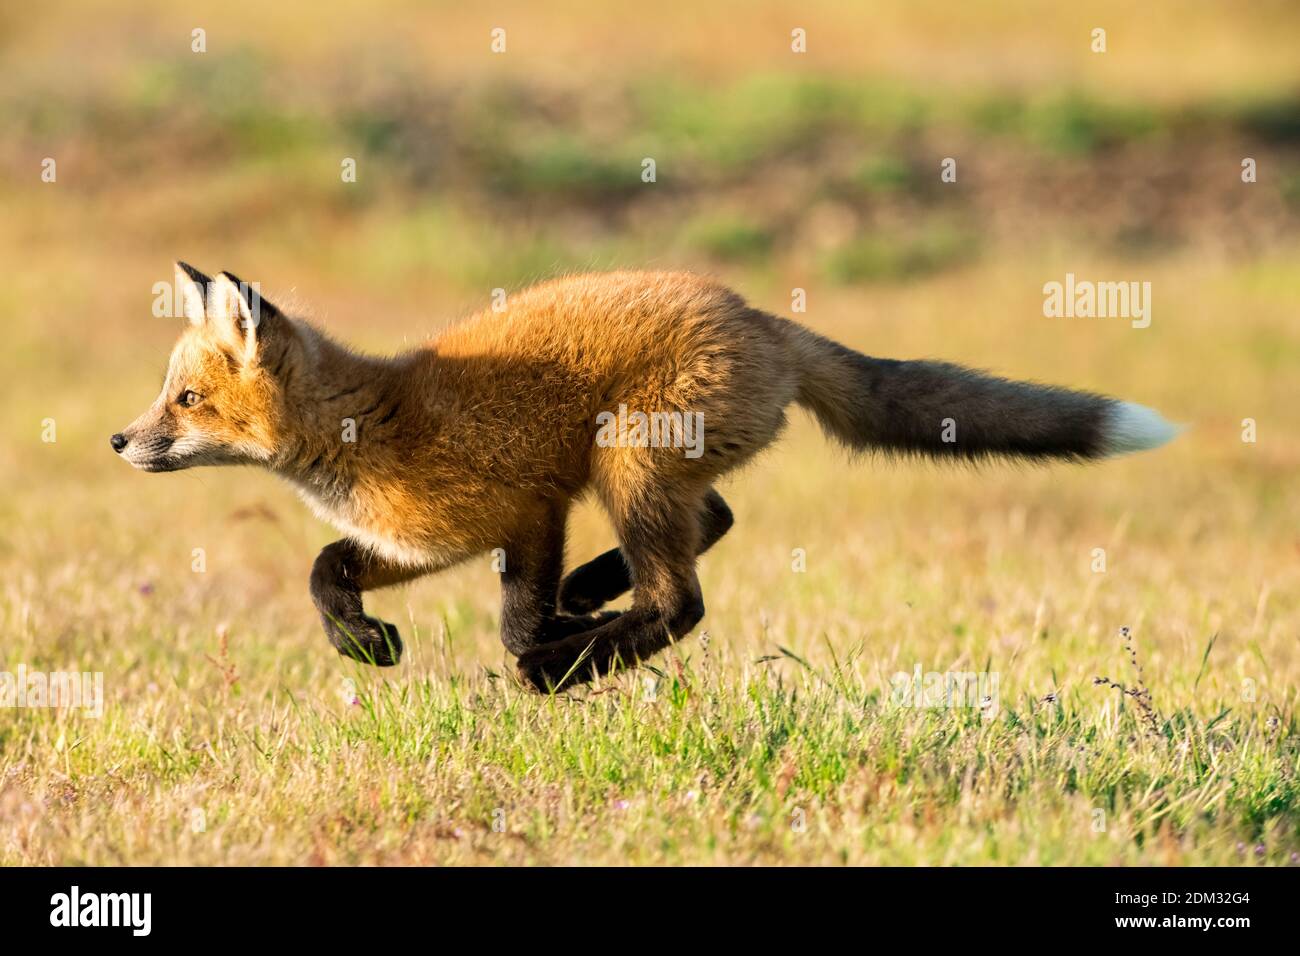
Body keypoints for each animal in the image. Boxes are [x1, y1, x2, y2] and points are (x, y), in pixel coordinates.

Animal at [114, 263, 1179, 691]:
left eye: (186, 401)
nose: (120, 442)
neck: (368, 425)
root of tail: (761, 317)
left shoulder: (528, 508)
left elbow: (514, 616)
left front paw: (542, 650)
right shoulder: (420, 540)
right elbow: (324, 570)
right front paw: (364, 645)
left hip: (623, 458)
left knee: (683, 597)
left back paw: (565, 663)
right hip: (648, 472)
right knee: (717, 519)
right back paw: (593, 601)